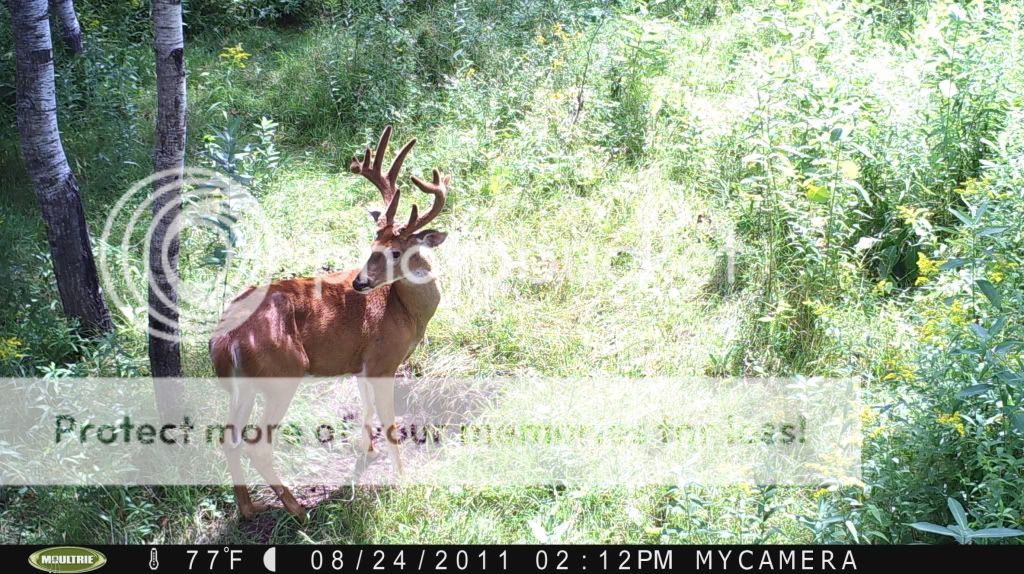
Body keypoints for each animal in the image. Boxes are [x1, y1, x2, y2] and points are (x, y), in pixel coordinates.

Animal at [209, 126, 449, 521]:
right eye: (372, 245)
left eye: (394, 250)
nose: (360, 283)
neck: (407, 312)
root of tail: (224, 338)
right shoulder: (384, 360)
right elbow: (390, 423)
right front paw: (403, 479)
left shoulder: (361, 363)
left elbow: (366, 409)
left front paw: (368, 453)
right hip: (281, 373)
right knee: (256, 444)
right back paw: (297, 509)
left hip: (242, 384)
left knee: (228, 436)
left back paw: (248, 508)